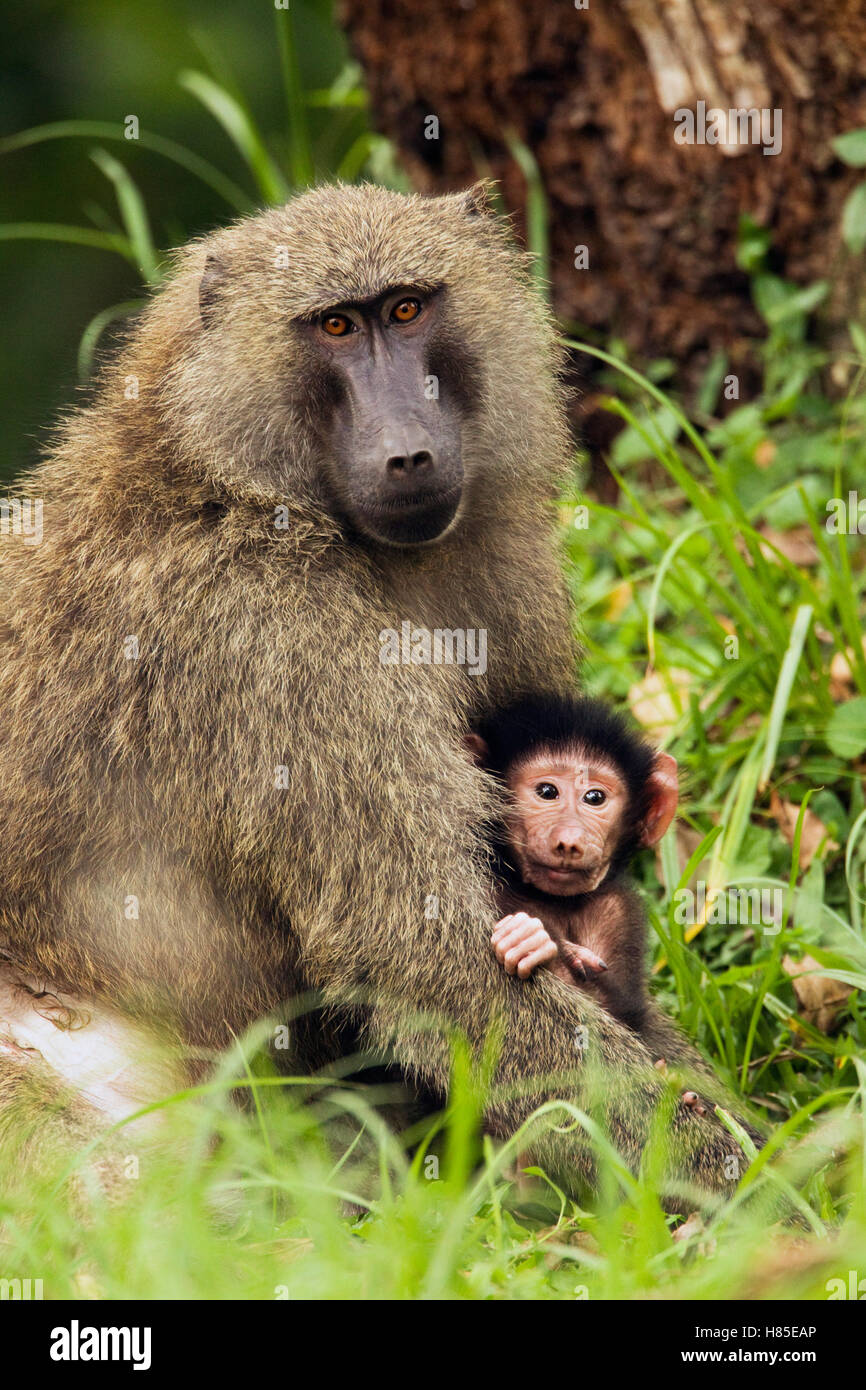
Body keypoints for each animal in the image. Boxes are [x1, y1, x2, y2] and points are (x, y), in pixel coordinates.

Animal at [0, 181, 763, 1209]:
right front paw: (761, 1184)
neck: (247, 484)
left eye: (405, 310)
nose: (408, 453)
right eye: (335, 325)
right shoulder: (274, 638)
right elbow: (424, 954)